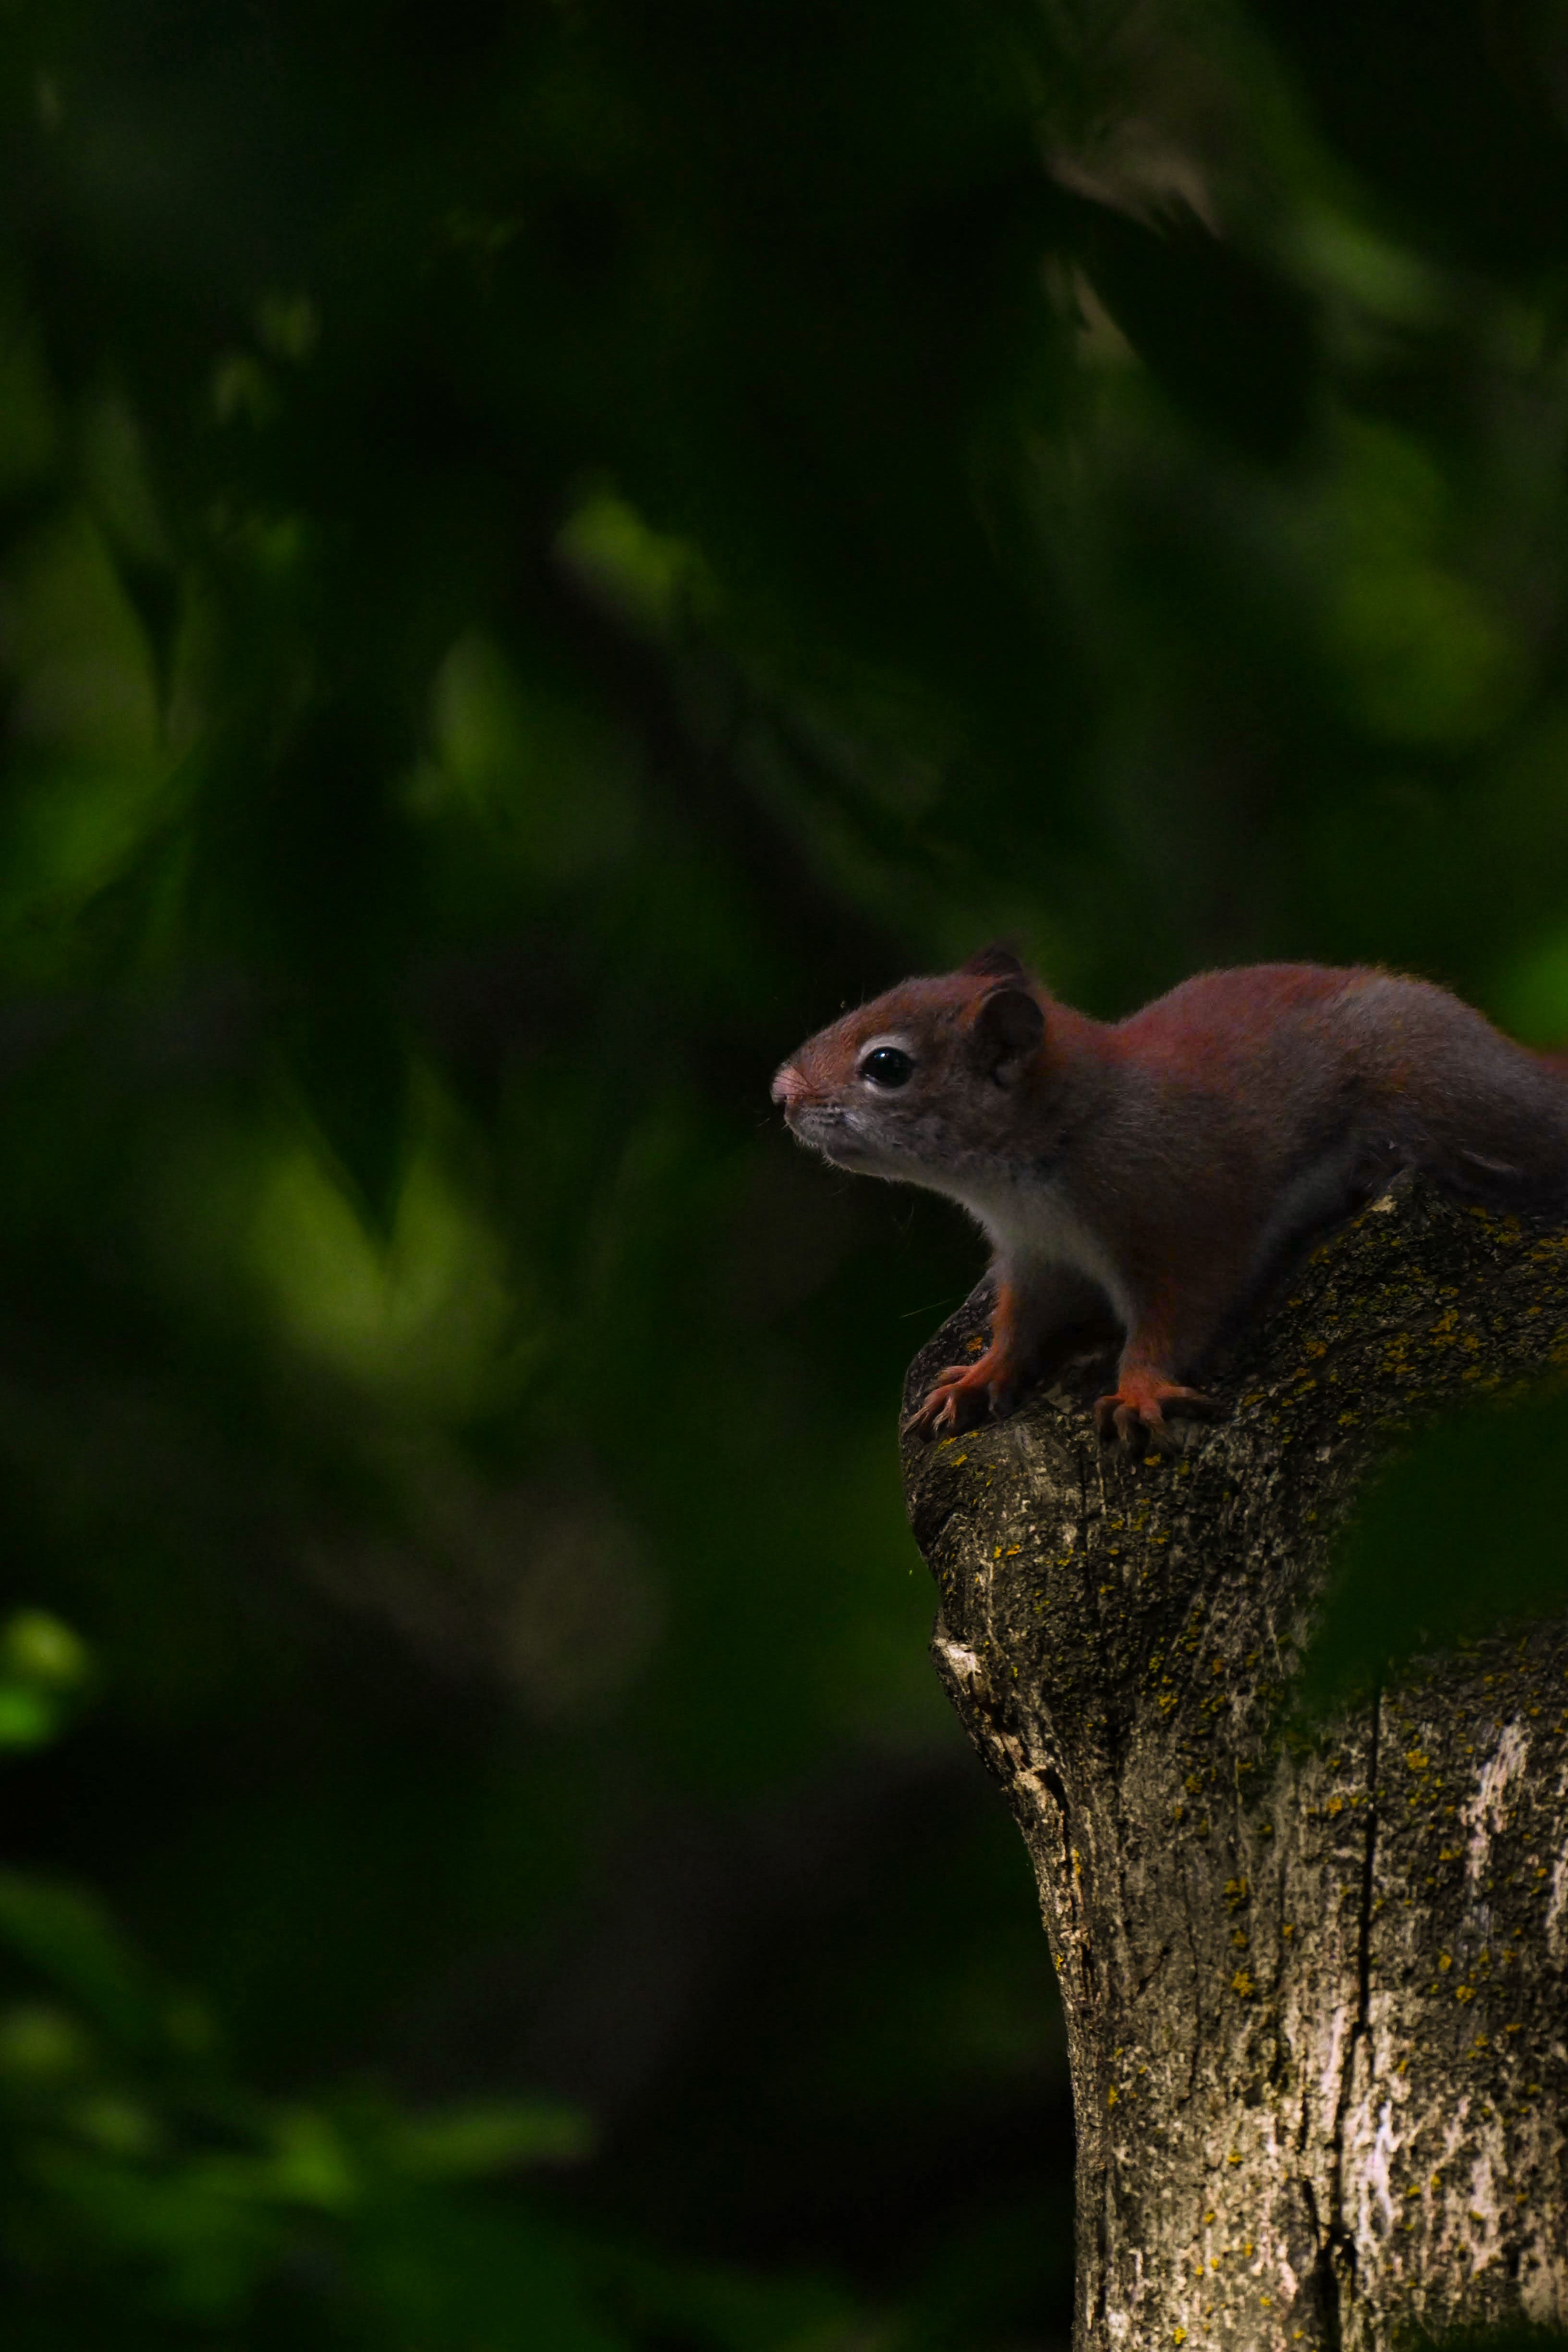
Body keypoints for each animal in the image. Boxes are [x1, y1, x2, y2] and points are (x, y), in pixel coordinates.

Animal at [772, 946, 1568, 1451]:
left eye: (886, 1065)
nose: (780, 1093)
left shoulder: (1177, 1222)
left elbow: (1171, 1321)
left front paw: (1139, 1391)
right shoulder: (1036, 1258)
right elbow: (1019, 1325)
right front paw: (980, 1376)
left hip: (1445, 1088)